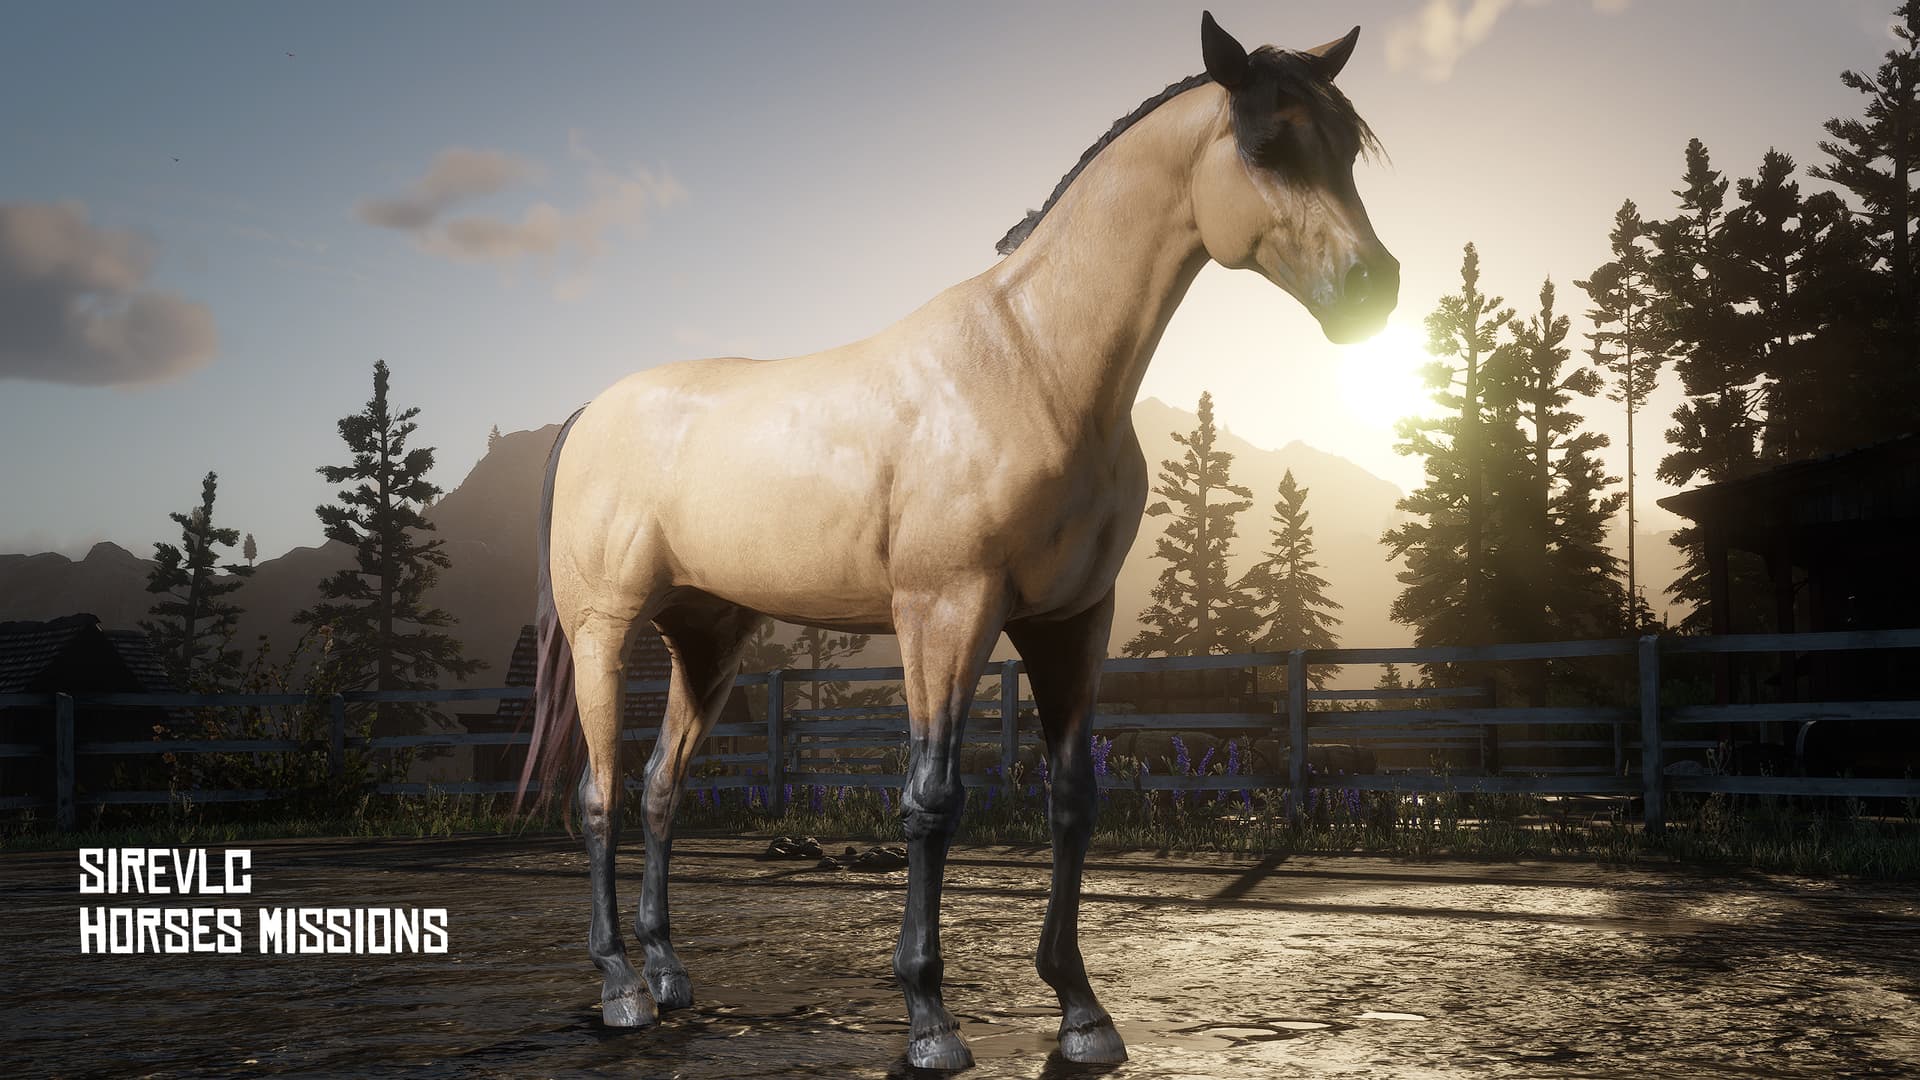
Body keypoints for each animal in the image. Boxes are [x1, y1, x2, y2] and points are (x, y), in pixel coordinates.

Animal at [520, 11, 1396, 1070]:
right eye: (1268, 145)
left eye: (1346, 148)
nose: (1374, 288)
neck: (1036, 367)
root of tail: (590, 412)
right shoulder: (946, 614)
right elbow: (931, 802)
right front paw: (931, 1020)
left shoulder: (1070, 621)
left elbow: (1074, 799)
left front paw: (1083, 1014)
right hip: (604, 633)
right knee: (598, 796)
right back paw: (620, 988)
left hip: (709, 641)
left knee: (658, 790)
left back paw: (669, 974)